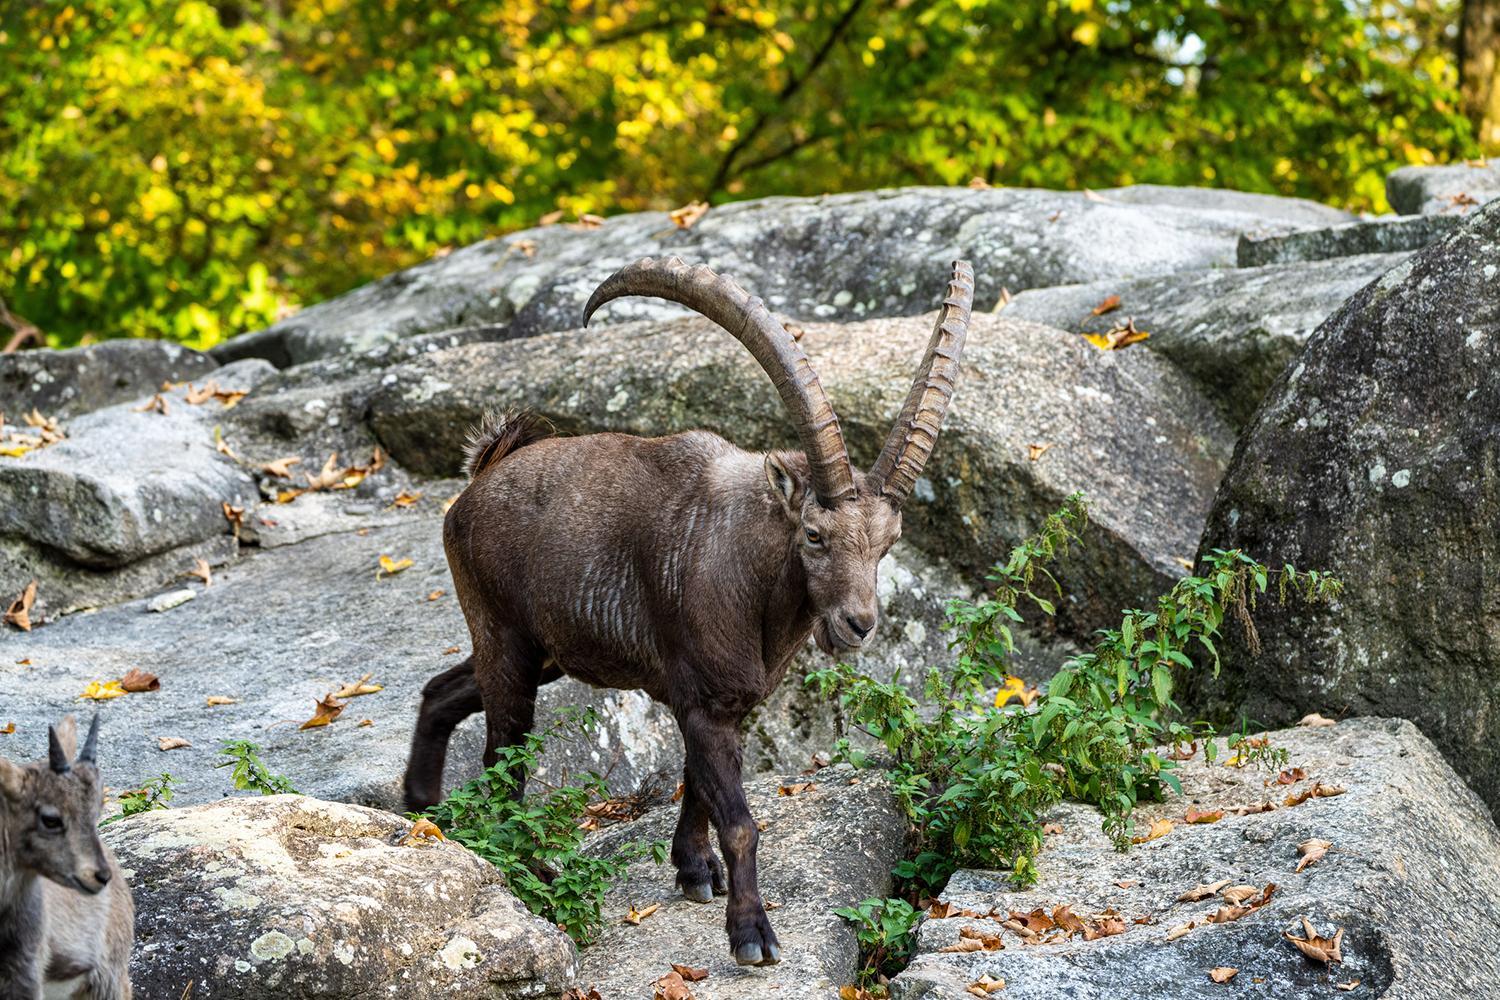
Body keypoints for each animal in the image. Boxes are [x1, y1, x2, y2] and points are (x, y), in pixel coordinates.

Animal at [403, 256, 973, 965]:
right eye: (814, 535)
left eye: (888, 542)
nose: (858, 624)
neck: (750, 577)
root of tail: (476, 482)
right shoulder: (702, 700)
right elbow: (741, 821)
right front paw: (751, 934)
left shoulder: (723, 704)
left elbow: (697, 785)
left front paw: (694, 870)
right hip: (506, 638)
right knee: (502, 758)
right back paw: (527, 867)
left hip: (543, 652)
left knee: (444, 690)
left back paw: (421, 806)